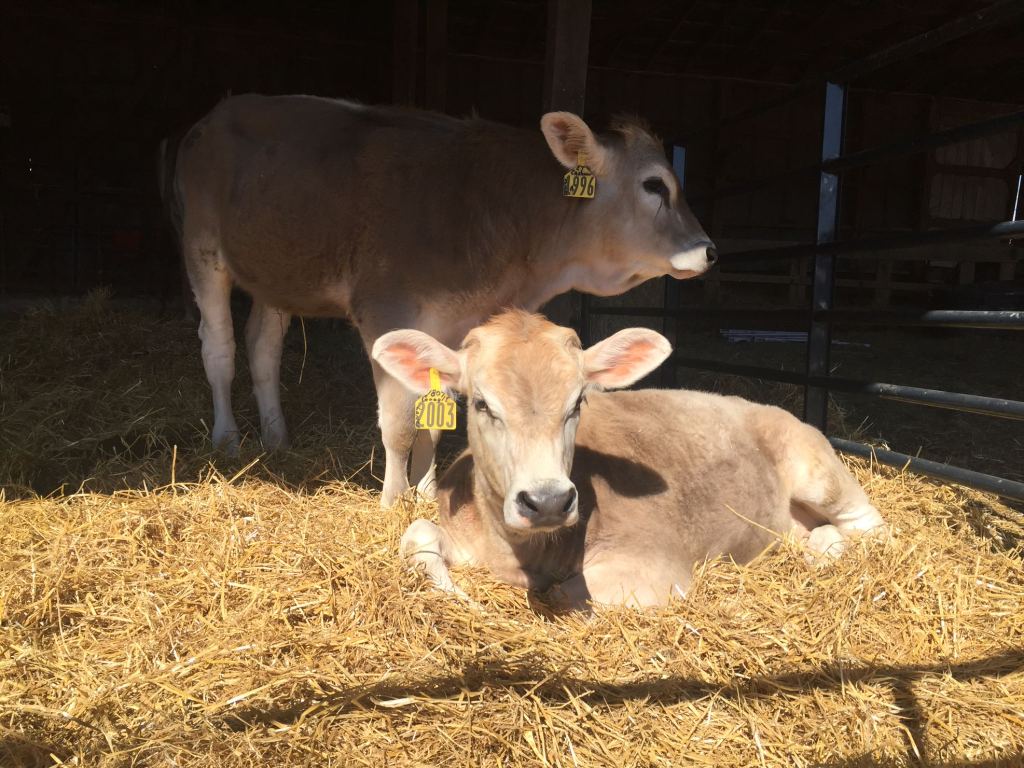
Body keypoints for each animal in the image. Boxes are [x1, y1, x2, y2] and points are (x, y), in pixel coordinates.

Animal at [163, 94, 716, 508]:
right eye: (654, 185)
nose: (708, 249)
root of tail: (215, 116)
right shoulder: (385, 315)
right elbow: (399, 423)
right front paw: (392, 499)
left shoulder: (455, 326)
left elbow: (435, 419)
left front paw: (428, 492)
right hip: (202, 250)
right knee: (220, 348)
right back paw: (228, 439)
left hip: (276, 275)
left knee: (263, 348)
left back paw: (275, 436)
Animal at [372, 310, 887, 610]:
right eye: (480, 403)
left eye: (578, 402)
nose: (548, 501)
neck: (517, 552)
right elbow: (416, 534)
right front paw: (456, 592)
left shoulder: (656, 567)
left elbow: (565, 594)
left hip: (818, 471)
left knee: (874, 530)